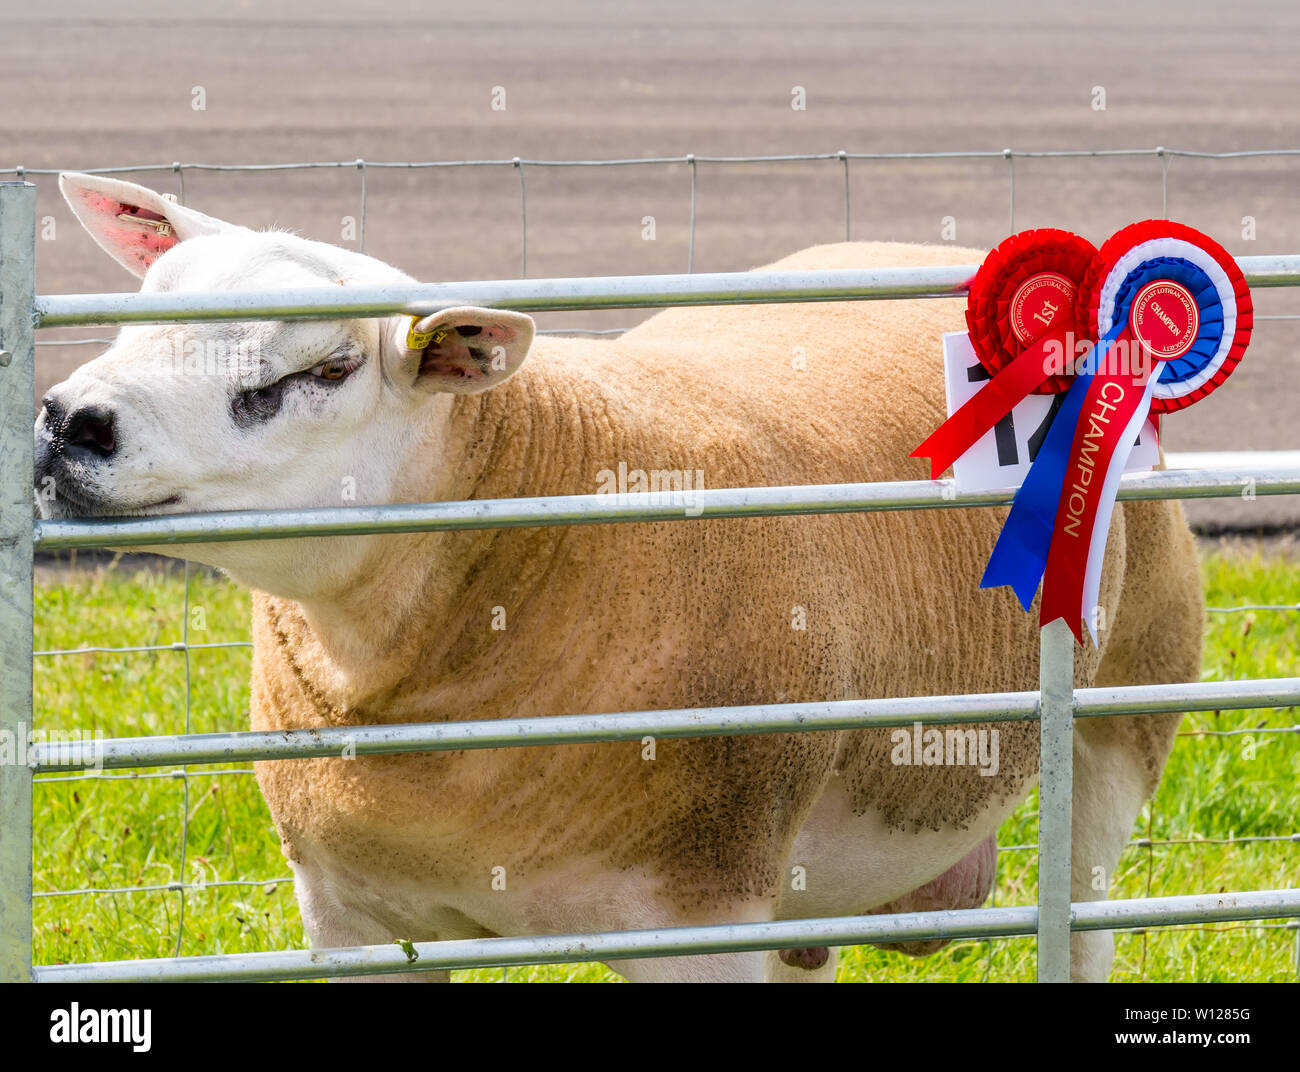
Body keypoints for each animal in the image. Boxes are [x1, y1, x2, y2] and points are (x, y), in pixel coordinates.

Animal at [37, 172, 1204, 982]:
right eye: (139, 311)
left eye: (326, 369)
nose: (68, 422)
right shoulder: (352, 918)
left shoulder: (697, 919)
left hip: (1123, 714)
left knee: (1085, 918)